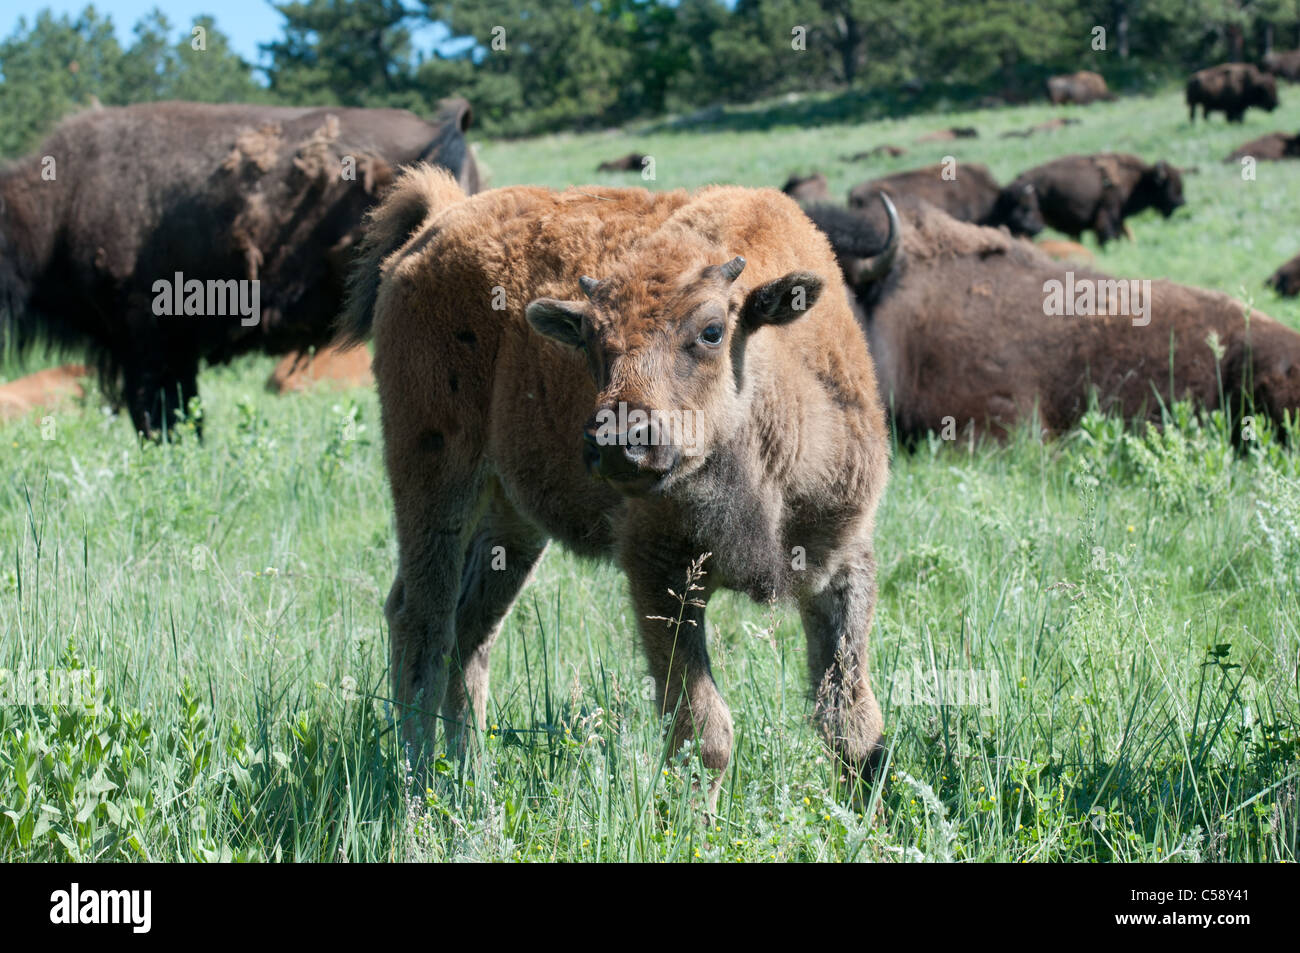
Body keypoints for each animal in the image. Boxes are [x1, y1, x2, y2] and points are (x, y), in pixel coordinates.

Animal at [339, 168, 891, 804]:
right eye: (588, 339)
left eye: (711, 331)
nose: (618, 441)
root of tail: (436, 225)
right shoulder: (660, 571)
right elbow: (703, 730)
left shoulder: (842, 566)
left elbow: (850, 718)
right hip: (435, 477)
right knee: (421, 619)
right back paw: (418, 785)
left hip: (511, 520)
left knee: (472, 629)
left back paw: (471, 777)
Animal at [1010, 153, 1184, 245]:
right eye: (1168, 184)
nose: (1182, 202)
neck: (1139, 179)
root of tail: (1020, 178)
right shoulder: (1108, 213)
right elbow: (1108, 234)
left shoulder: (1118, 217)